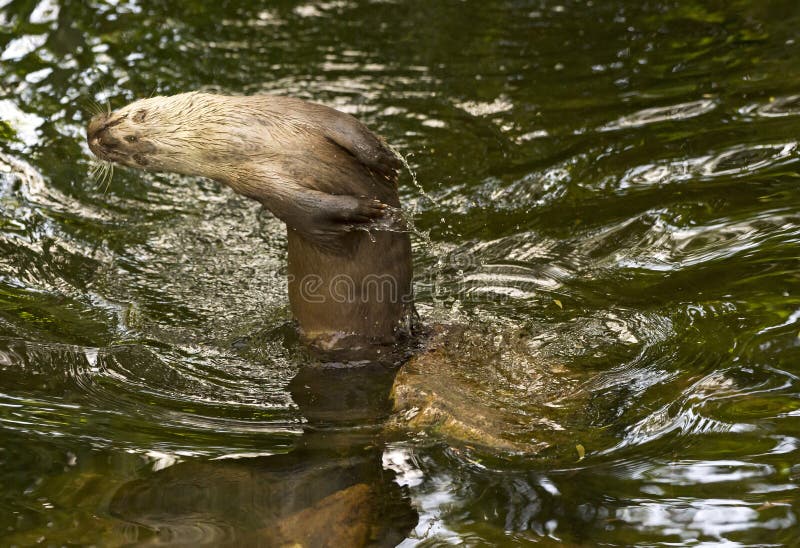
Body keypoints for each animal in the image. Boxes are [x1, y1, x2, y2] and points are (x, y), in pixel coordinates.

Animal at [86, 92, 413, 352]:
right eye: (136, 158)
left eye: (129, 124)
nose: (94, 135)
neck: (251, 142)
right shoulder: (259, 183)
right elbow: (307, 210)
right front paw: (367, 209)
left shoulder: (300, 113)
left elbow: (349, 127)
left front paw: (389, 162)